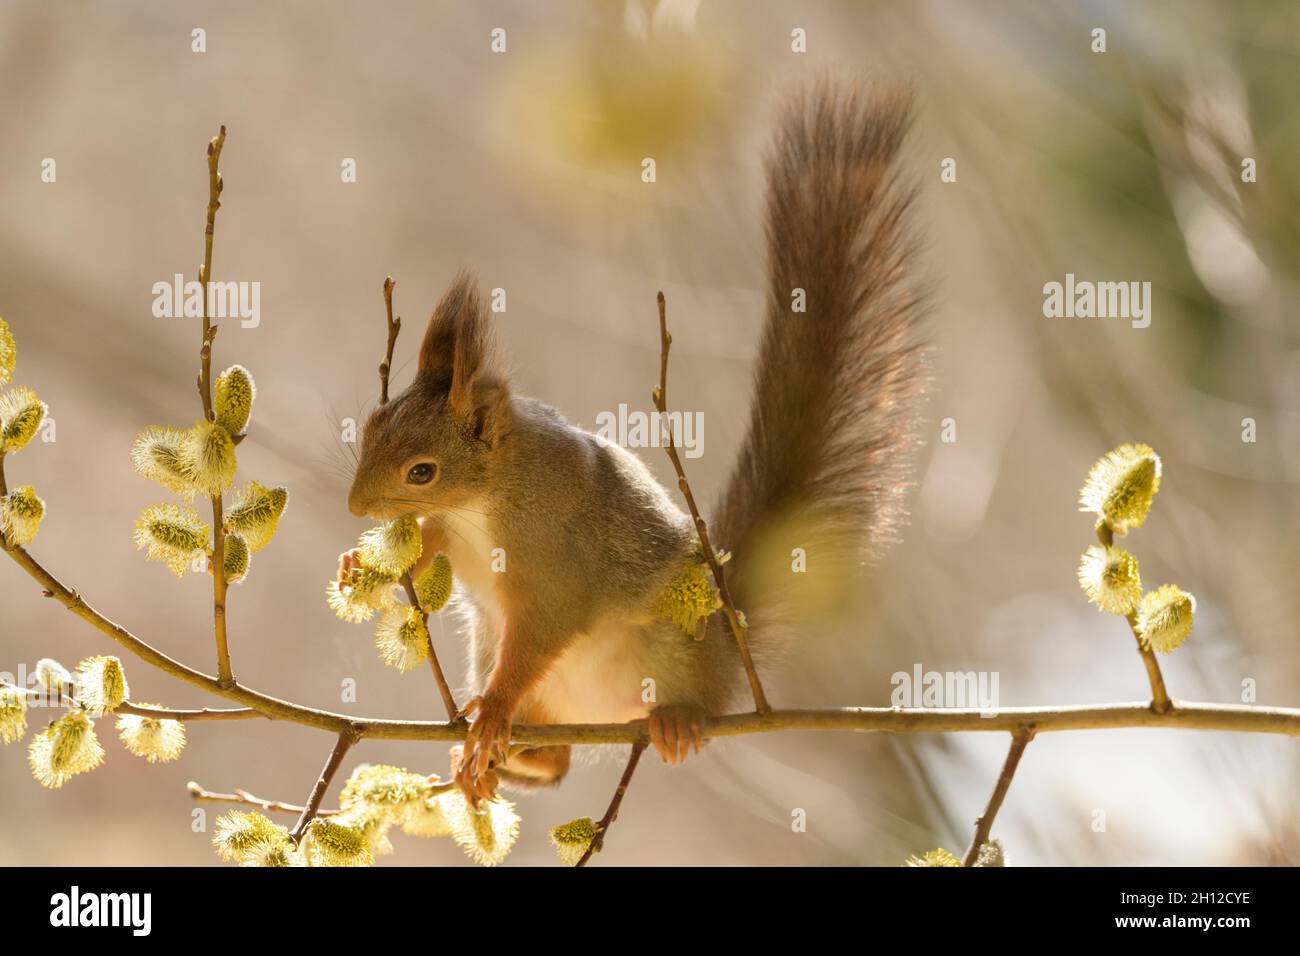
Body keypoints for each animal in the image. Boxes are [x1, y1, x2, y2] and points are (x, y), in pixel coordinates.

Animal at [342, 79, 928, 804]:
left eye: (421, 472)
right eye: (371, 427)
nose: (355, 508)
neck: (488, 498)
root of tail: (731, 651)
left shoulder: (556, 565)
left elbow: (542, 629)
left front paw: (496, 707)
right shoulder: (457, 531)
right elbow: (431, 543)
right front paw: (366, 565)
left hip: (667, 649)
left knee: (649, 711)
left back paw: (665, 721)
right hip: (498, 651)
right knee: (557, 764)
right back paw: (485, 763)